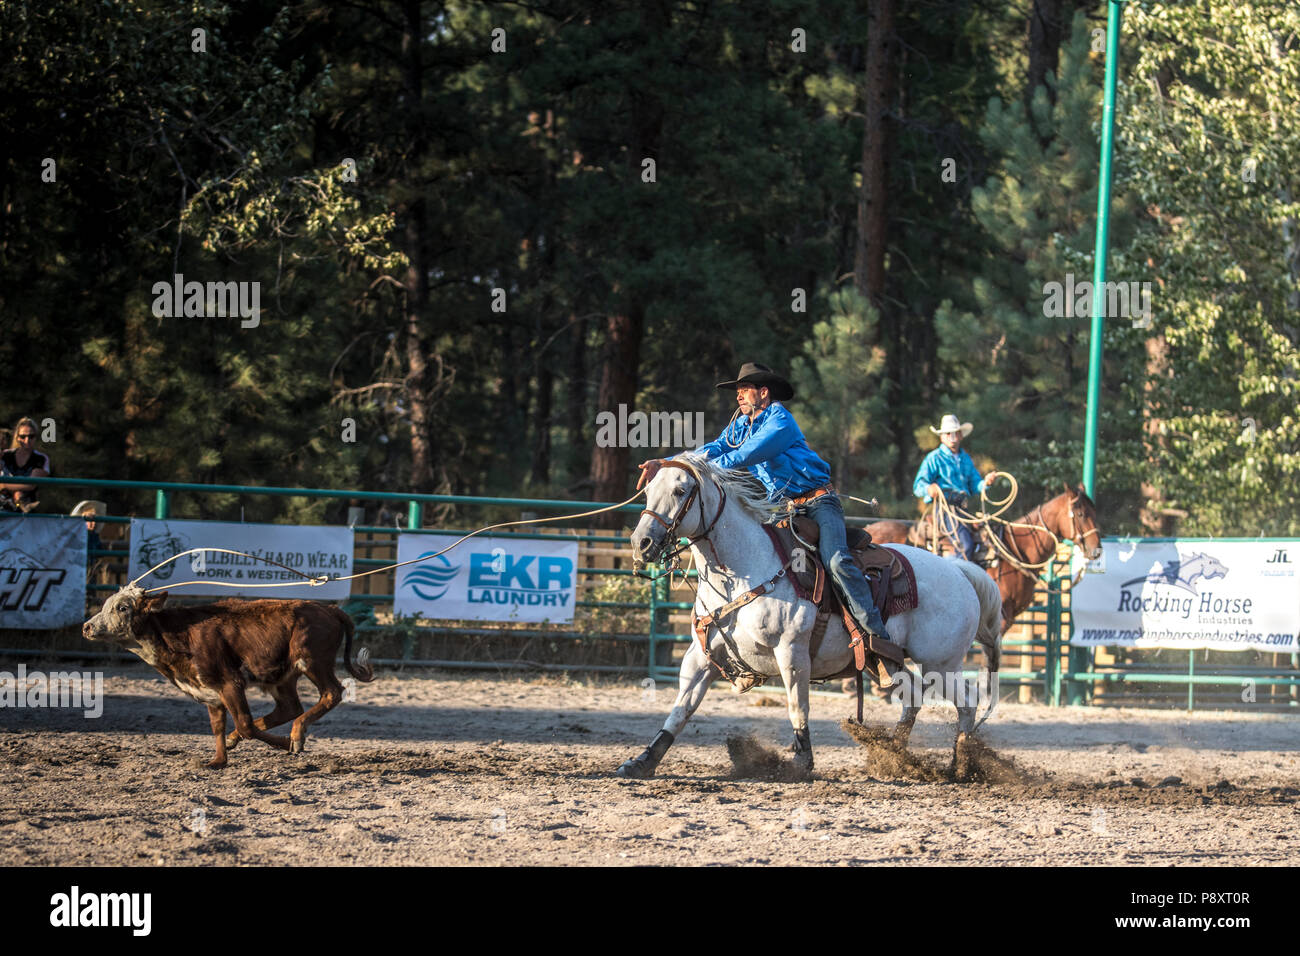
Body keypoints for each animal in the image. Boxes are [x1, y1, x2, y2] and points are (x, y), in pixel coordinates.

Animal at [83, 585, 374, 769]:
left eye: (122, 608)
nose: (86, 627)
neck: (178, 634)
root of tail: (331, 609)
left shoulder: (230, 684)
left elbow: (246, 724)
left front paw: (283, 744)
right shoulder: (209, 692)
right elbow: (218, 726)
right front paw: (217, 761)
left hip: (312, 660)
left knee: (331, 693)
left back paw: (295, 735)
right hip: (281, 676)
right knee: (290, 707)